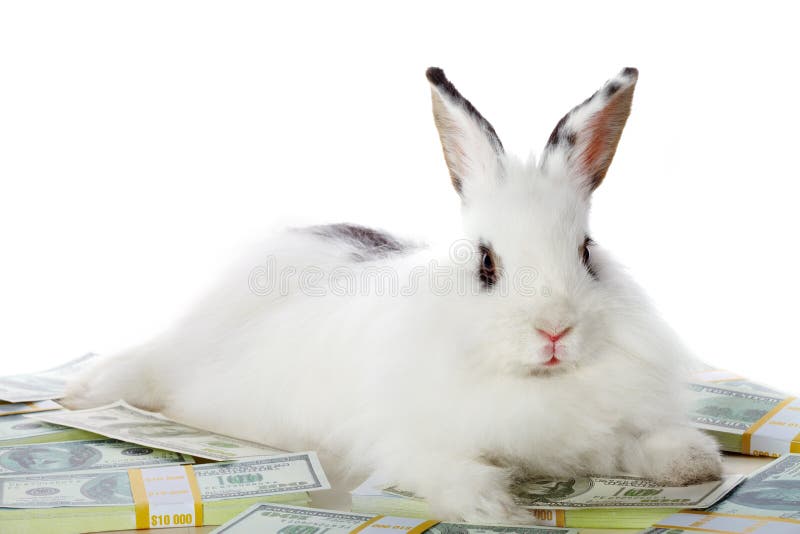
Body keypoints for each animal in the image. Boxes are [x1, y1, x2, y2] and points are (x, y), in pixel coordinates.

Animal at [63, 66, 722, 524]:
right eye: (486, 263)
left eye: (587, 253)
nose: (555, 331)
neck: (537, 382)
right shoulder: (411, 443)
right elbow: (445, 469)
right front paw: (497, 509)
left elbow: (644, 444)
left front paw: (696, 464)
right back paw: (85, 393)